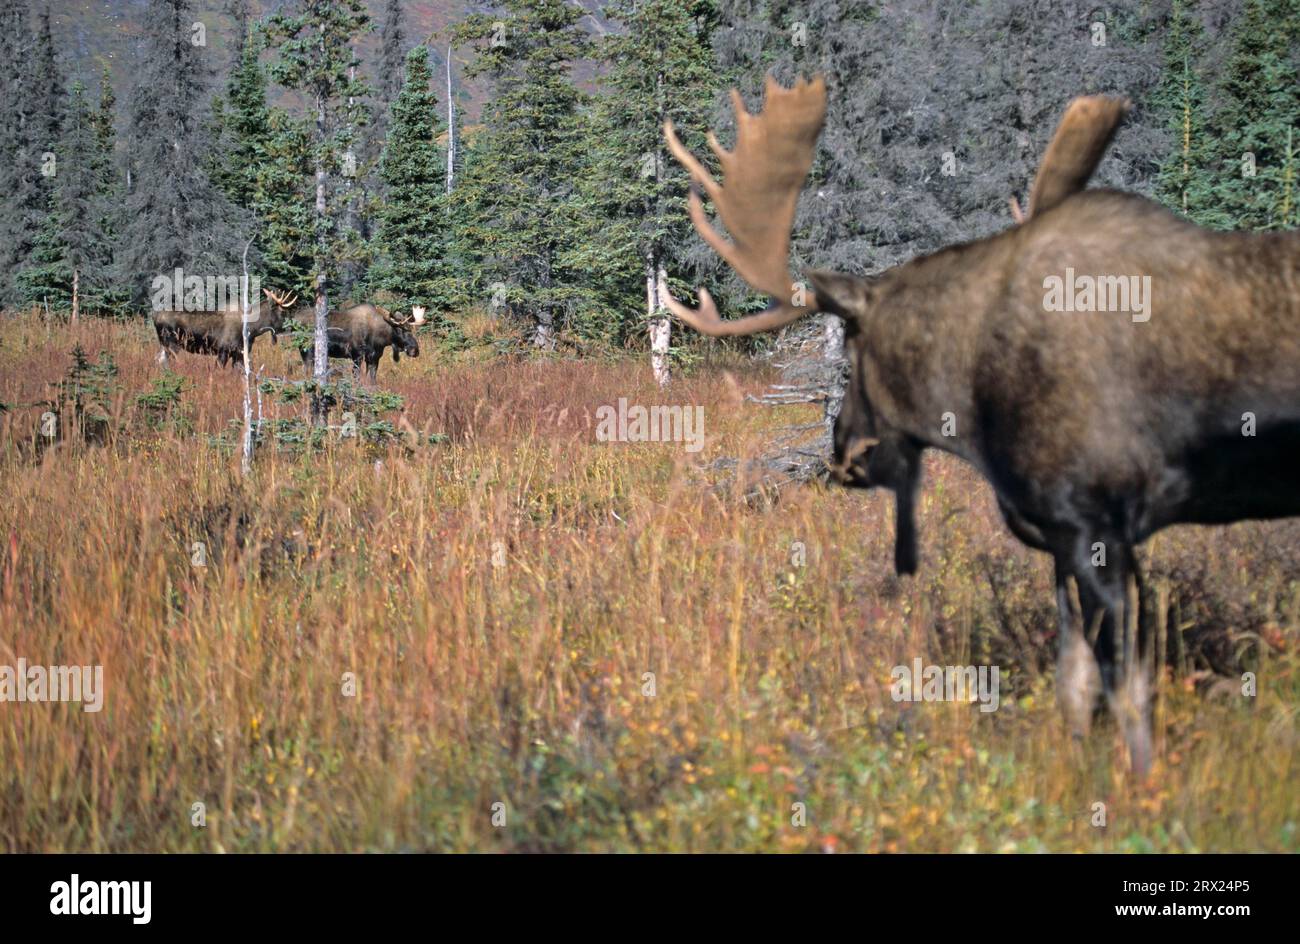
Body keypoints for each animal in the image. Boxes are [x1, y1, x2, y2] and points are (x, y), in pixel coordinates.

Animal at [153, 288, 298, 368]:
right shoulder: (223, 350)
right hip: (172, 345)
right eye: (282, 312)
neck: (252, 330)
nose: (292, 328)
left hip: (164, 346)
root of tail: (155, 317)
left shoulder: (238, 353)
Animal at [659, 75, 1300, 776]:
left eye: (853, 352)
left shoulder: (1098, 525)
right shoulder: (1065, 534)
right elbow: (1074, 685)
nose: (843, 453)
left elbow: (1127, 693)